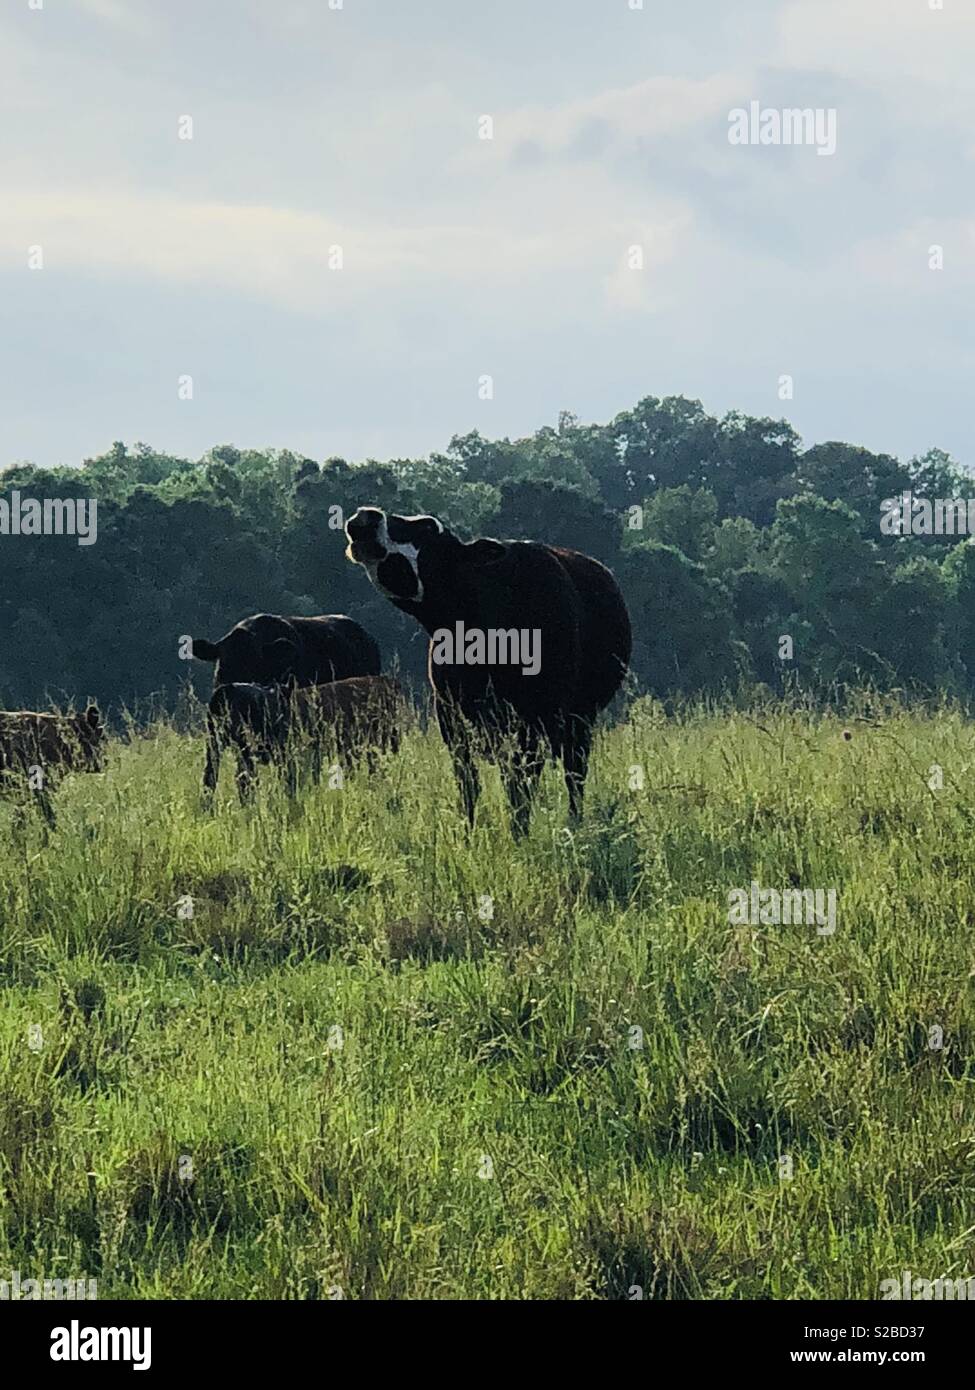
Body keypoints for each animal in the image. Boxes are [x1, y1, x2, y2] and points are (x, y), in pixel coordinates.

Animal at [344, 508, 631, 834]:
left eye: (427, 528)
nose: (366, 516)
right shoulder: (451, 718)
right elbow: (469, 785)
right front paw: (469, 834)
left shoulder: (533, 722)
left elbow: (520, 791)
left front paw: (519, 836)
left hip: (580, 720)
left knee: (574, 776)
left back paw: (574, 823)